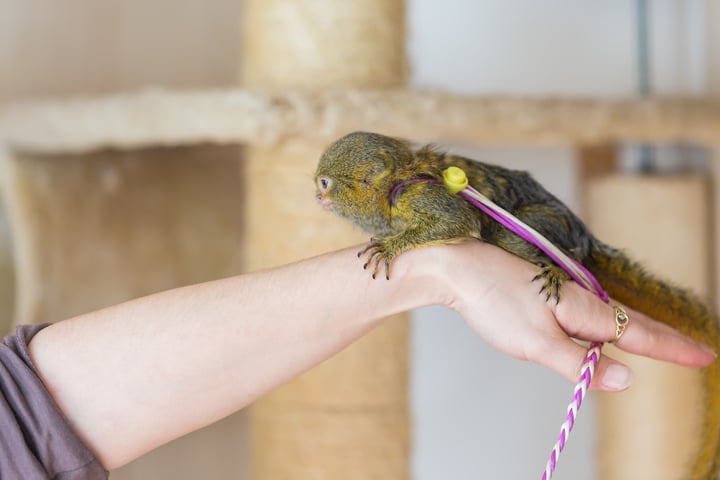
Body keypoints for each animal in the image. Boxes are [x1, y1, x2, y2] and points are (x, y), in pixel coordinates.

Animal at [314, 131, 720, 479]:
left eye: (325, 183)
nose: (316, 197)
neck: (391, 188)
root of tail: (583, 234)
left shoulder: (420, 196)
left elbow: (458, 220)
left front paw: (393, 246)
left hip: (552, 227)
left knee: (514, 233)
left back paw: (564, 264)